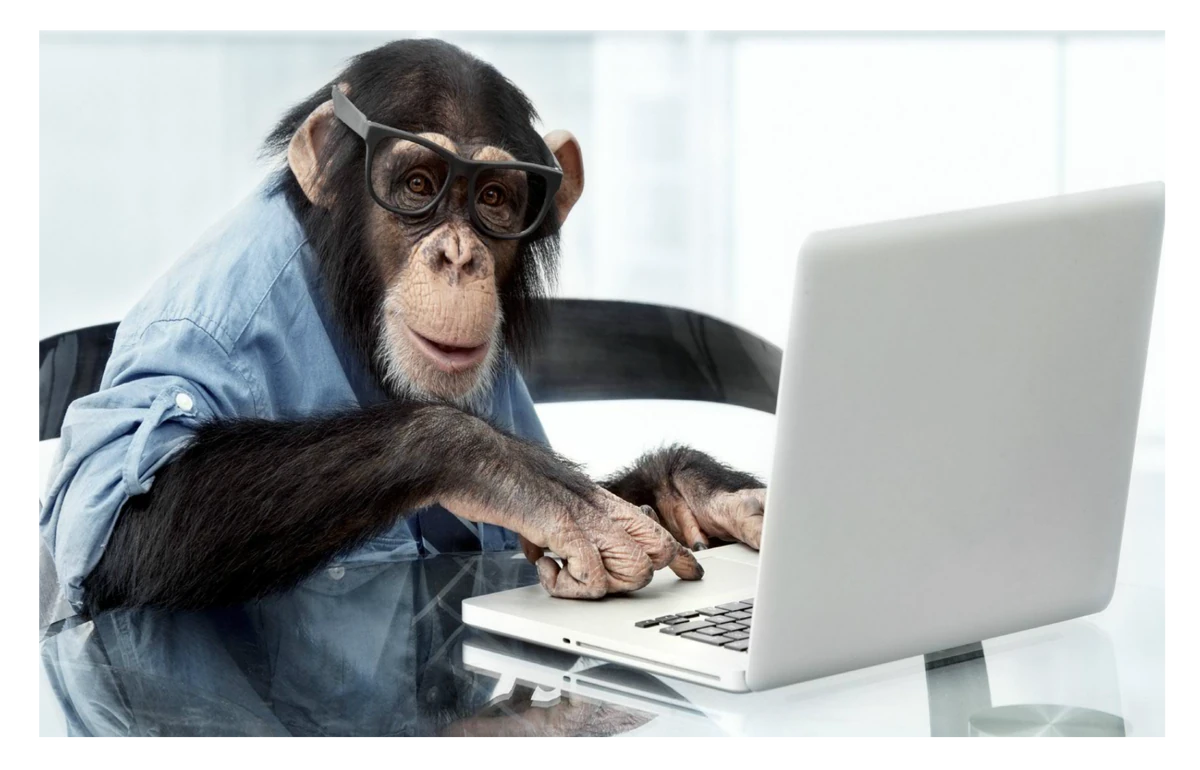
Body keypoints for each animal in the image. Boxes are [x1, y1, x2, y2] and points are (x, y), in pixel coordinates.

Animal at [40, 40, 768, 616]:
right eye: (419, 185)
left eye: (495, 199)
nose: (459, 255)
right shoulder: (212, 316)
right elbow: (121, 517)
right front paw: (516, 475)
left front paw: (693, 489)